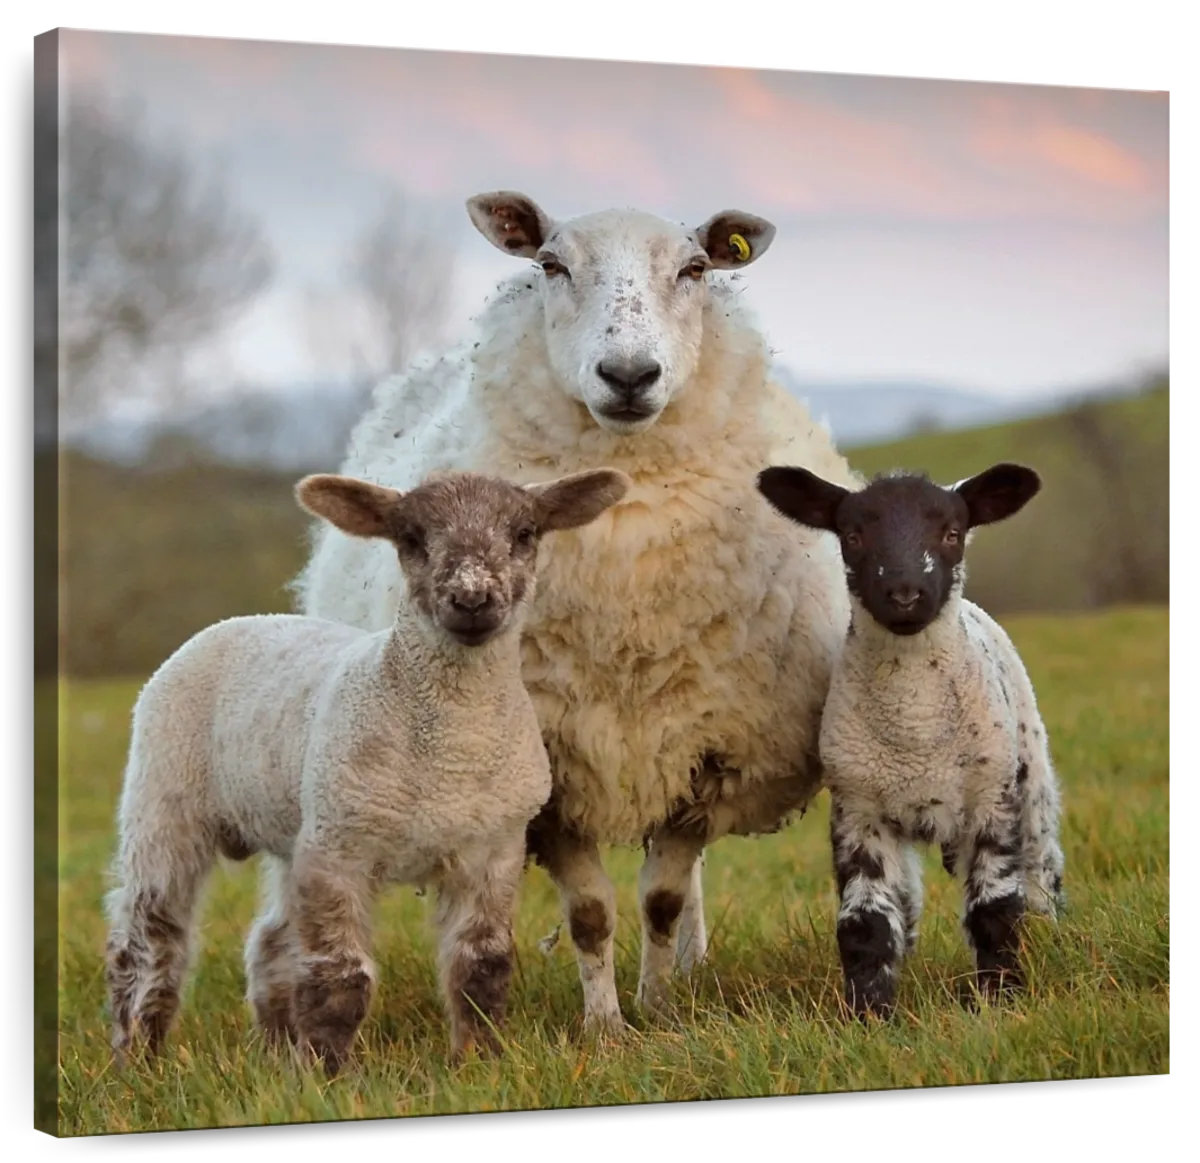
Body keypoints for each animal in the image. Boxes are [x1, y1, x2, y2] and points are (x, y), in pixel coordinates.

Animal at [104, 466, 630, 1070]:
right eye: (411, 538)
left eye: (524, 533)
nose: (472, 598)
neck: (449, 752)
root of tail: (244, 619)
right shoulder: (340, 850)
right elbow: (340, 977)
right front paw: (327, 1072)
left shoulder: (493, 849)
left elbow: (482, 966)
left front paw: (479, 1060)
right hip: (164, 796)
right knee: (148, 938)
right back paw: (138, 1055)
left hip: (296, 824)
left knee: (270, 941)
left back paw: (275, 1047)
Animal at [294, 190, 858, 1029]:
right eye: (552, 265)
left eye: (695, 268)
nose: (628, 374)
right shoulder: (551, 770)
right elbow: (592, 914)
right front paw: (605, 1026)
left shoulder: (703, 749)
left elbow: (661, 898)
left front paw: (660, 1008)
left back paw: (691, 968)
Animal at [756, 461, 1065, 1018]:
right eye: (852, 536)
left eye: (952, 533)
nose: (904, 595)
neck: (915, 726)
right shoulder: (859, 812)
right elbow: (866, 923)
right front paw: (870, 1015)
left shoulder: (993, 803)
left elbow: (995, 910)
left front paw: (1002, 1001)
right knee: (905, 903)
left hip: (1031, 785)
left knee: (1041, 882)